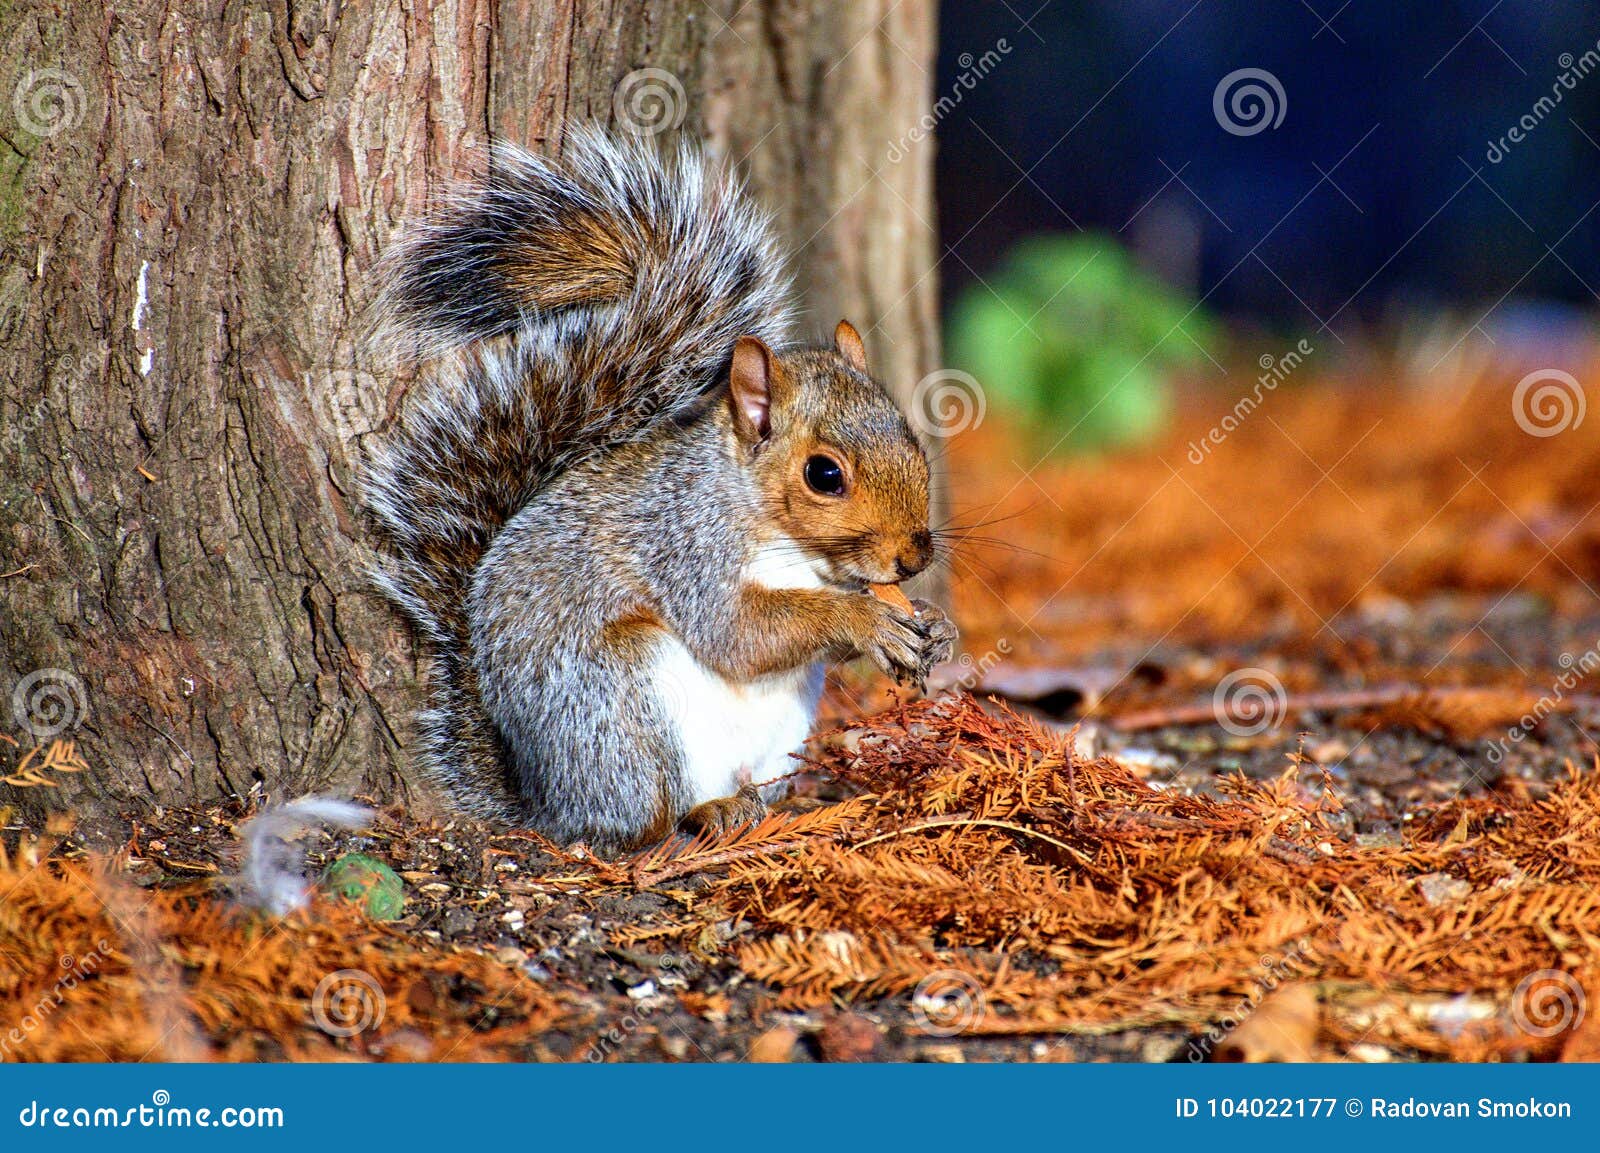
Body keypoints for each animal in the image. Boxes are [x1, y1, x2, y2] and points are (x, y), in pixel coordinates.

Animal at [363, 127, 956, 853]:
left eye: (909, 433)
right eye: (824, 474)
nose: (915, 556)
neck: (776, 533)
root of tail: (545, 800)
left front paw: (933, 627)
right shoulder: (683, 544)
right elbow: (737, 634)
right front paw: (863, 619)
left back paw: (762, 808)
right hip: (624, 704)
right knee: (648, 819)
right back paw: (698, 816)